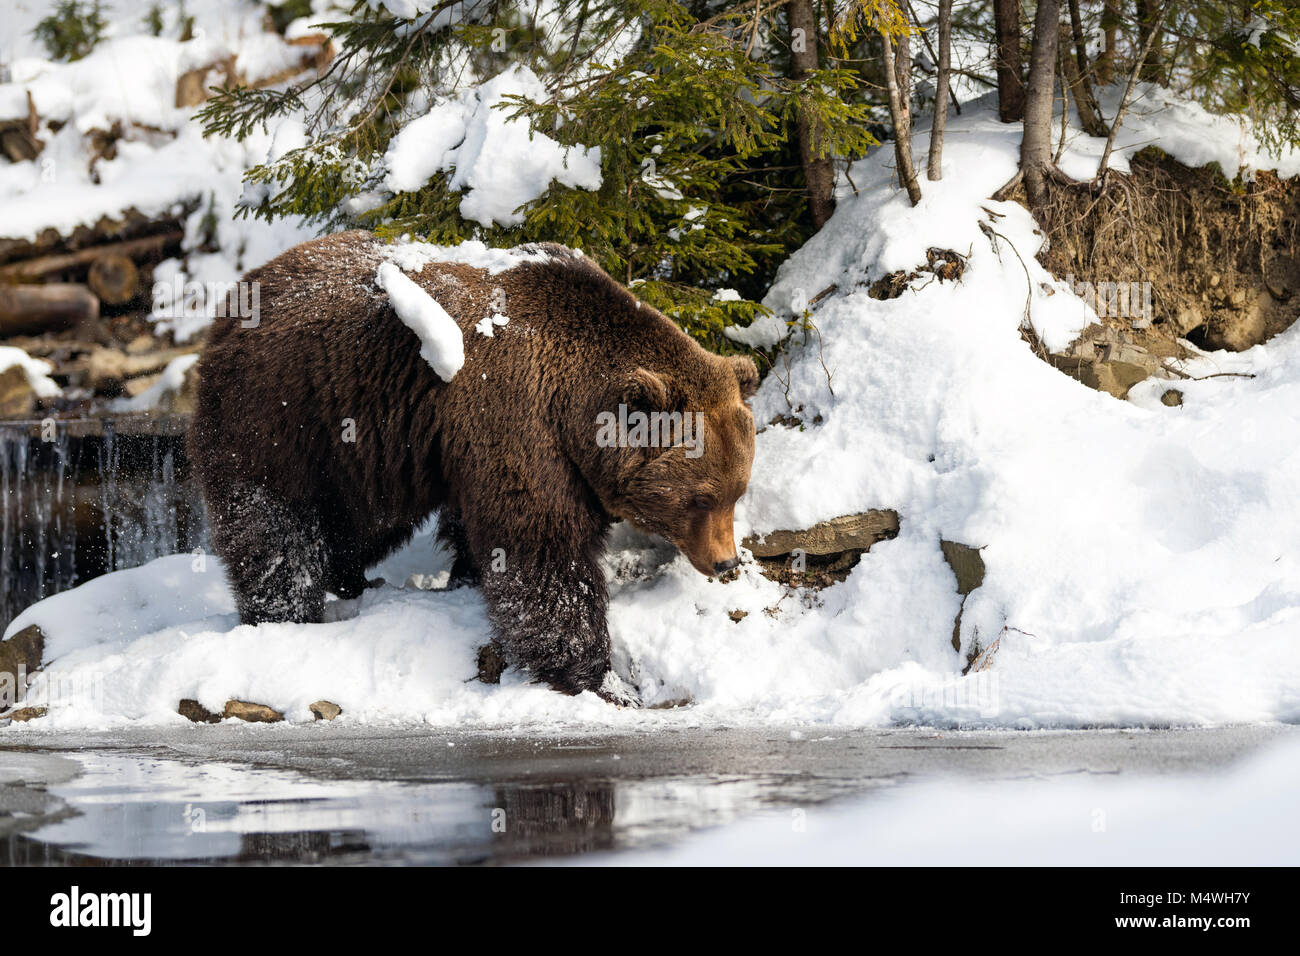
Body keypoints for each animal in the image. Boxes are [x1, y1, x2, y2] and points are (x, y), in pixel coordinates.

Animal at [189, 230, 758, 698]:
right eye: (698, 498)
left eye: (737, 492)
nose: (726, 562)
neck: (572, 406)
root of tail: (238, 297)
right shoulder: (519, 419)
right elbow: (541, 549)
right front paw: (596, 674)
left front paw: (467, 577)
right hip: (285, 415)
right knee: (275, 530)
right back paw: (282, 614)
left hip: (369, 447)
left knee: (362, 523)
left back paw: (350, 579)